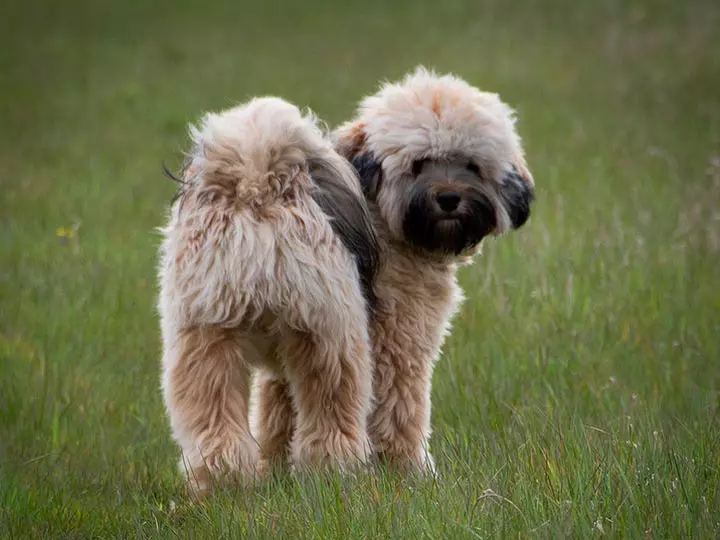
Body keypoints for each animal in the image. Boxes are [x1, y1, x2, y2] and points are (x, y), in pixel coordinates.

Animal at [157, 95, 380, 496]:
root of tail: (255, 191)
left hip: (209, 337)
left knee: (216, 423)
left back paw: (221, 482)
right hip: (329, 337)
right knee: (331, 413)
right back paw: (334, 473)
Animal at [253, 66, 536, 472]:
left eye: (471, 165)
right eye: (418, 164)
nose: (449, 198)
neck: (386, 225)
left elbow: (276, 409)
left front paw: (273, 469)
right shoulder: (400, 341)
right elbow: (401, 407)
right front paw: (409, 468)